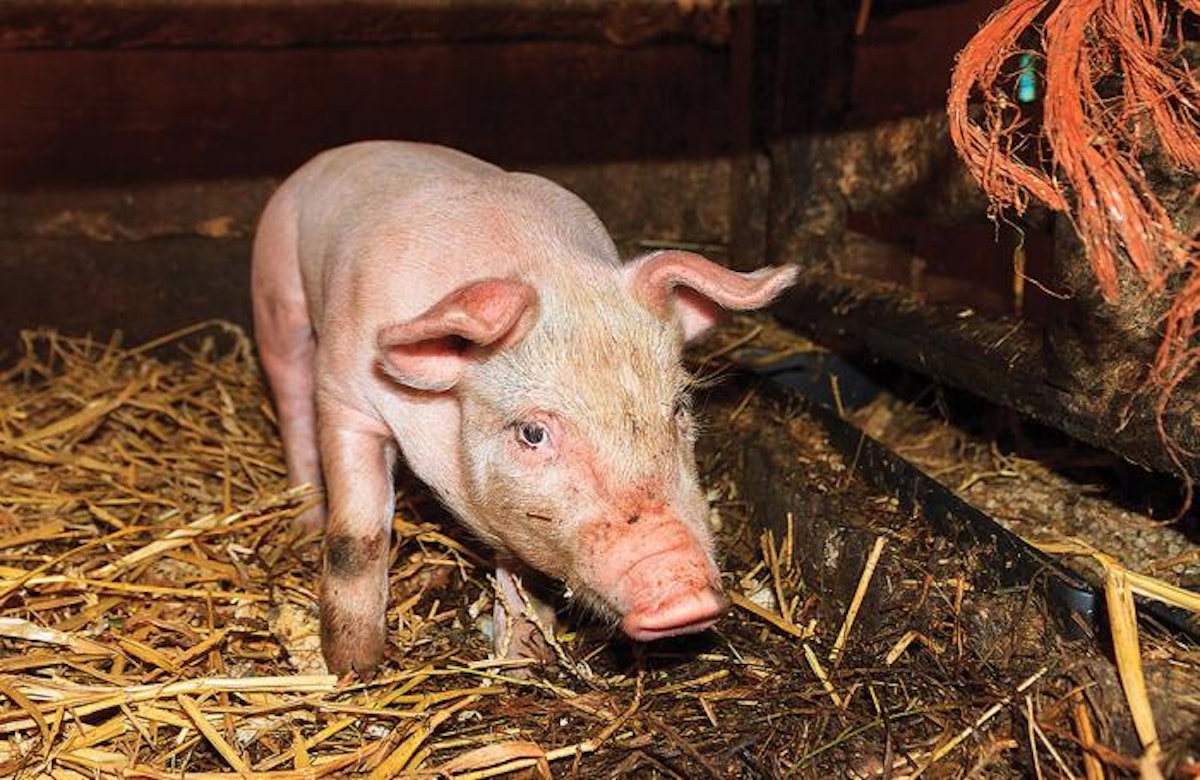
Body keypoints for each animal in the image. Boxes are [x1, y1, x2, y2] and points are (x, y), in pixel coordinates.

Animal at [251, 141, 798, 677]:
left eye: (679, 408)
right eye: (533, 432)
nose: (684, 589)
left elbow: (520, 567)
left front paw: (524, 663)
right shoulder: (346, 396)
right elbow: (357, 537)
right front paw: (354, 668)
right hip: (275, 286)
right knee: (292, 400)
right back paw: (305, 524)